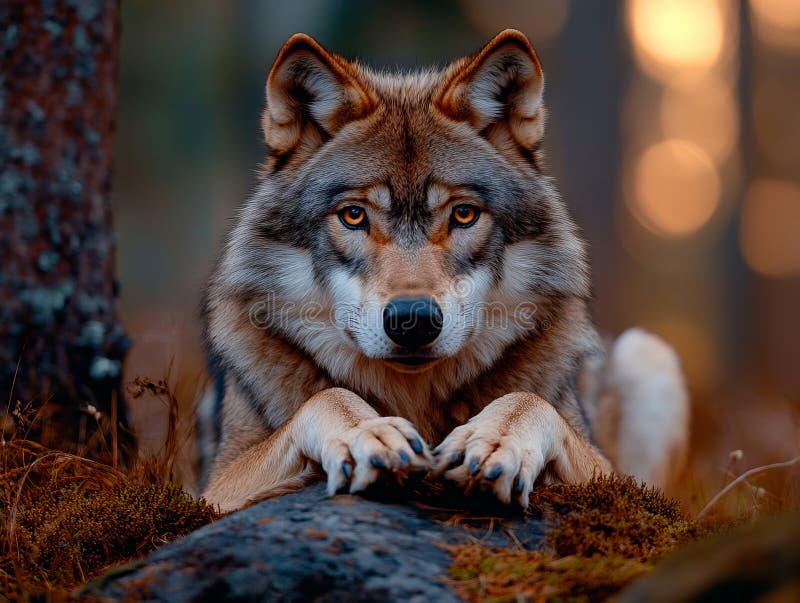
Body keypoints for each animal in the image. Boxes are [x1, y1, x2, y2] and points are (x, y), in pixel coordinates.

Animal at [199, 29, 689, 512]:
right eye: (354, 216)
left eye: (464, 215)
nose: (412, 319)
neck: (412, 400)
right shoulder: (213, 490)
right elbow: (328, 395)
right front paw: (368, 433)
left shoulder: (622, 485)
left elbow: (528, 400)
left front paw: (493, 442)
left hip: (649, 355)